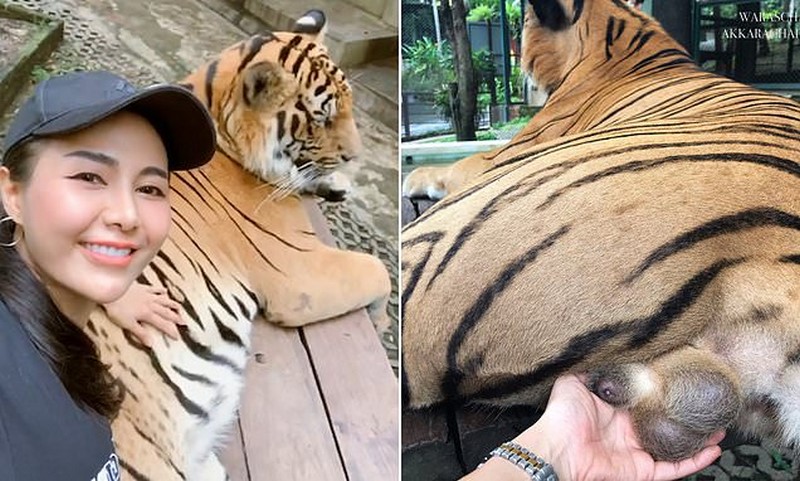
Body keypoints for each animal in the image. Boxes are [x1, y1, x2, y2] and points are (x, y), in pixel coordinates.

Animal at [84, 10, 391, 480]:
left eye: (350, 106)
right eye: (321, 118)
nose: (353, 158)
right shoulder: (300, 273)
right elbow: (379, 270)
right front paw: (382, 319)